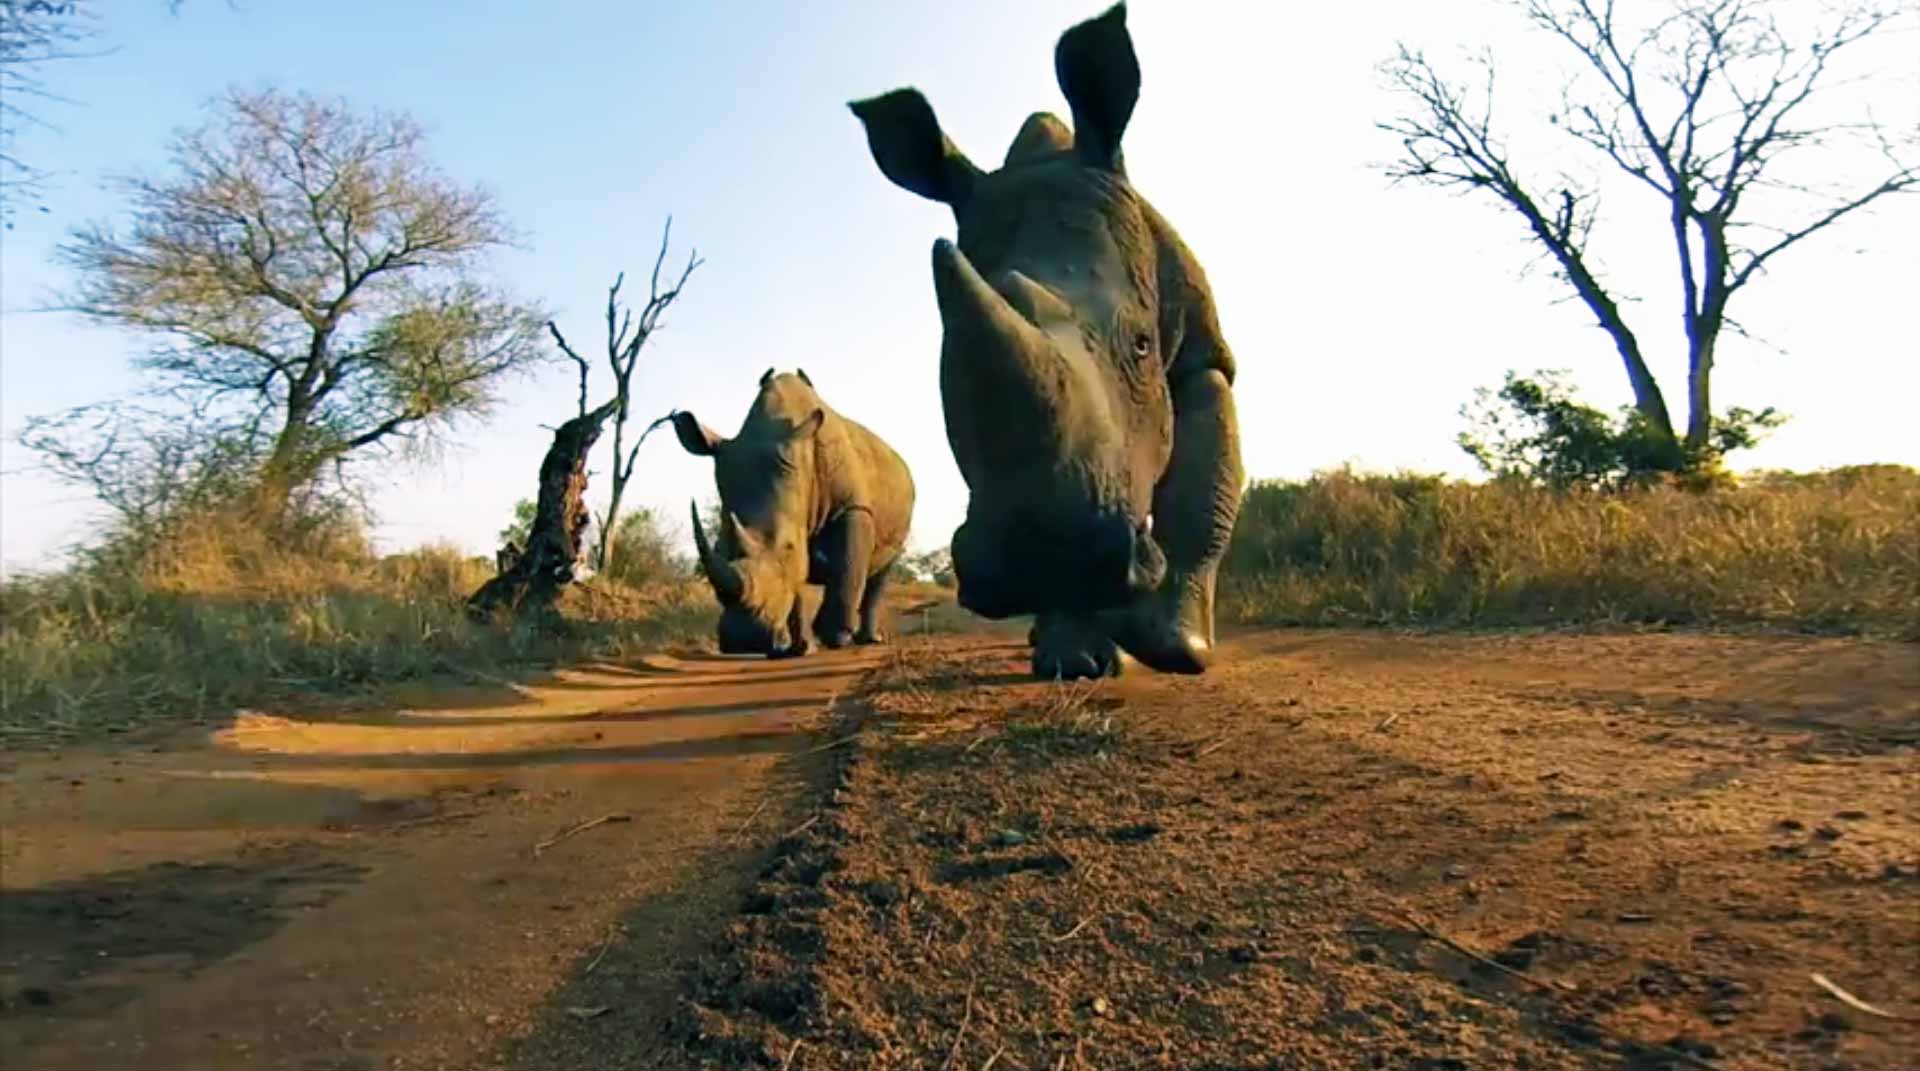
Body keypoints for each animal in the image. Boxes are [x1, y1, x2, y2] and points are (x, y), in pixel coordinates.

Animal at [674, 369, 916, 658]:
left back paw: (869, 640)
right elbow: (797, 585)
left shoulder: (853, 507)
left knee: (880, 570)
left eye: (787, 547)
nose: (743, 640)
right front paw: (799, 649)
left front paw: (835, 638)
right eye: (718, 548)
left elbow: (848, 565)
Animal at [848, 2, 1244, 679]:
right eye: (948, 378)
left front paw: (1175, 648)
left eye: (1143, 345)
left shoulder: (1204, 353)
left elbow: (1206, 487)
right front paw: (1075, 661)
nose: (1044, 551)